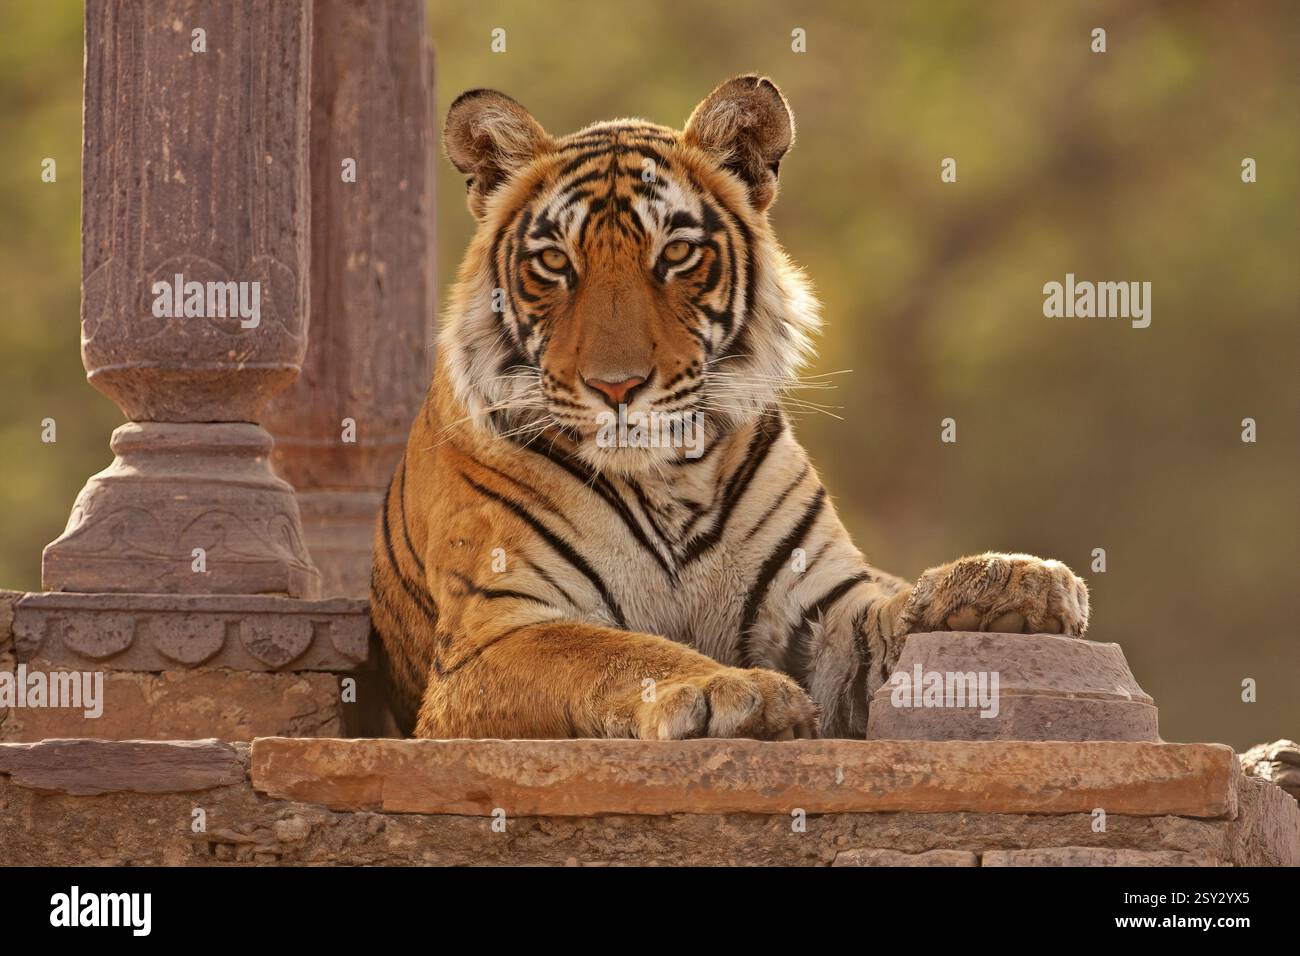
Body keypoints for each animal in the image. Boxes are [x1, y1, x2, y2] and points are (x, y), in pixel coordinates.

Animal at [371, 75, 1090, 740]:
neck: (668, 481)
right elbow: (614, 652)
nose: (616, 387)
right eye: (553, 262)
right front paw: (731, 690)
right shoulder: (495, 634)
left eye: (677, 253)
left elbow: (884, 619)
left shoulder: (817, 611)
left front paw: (1016, 581)